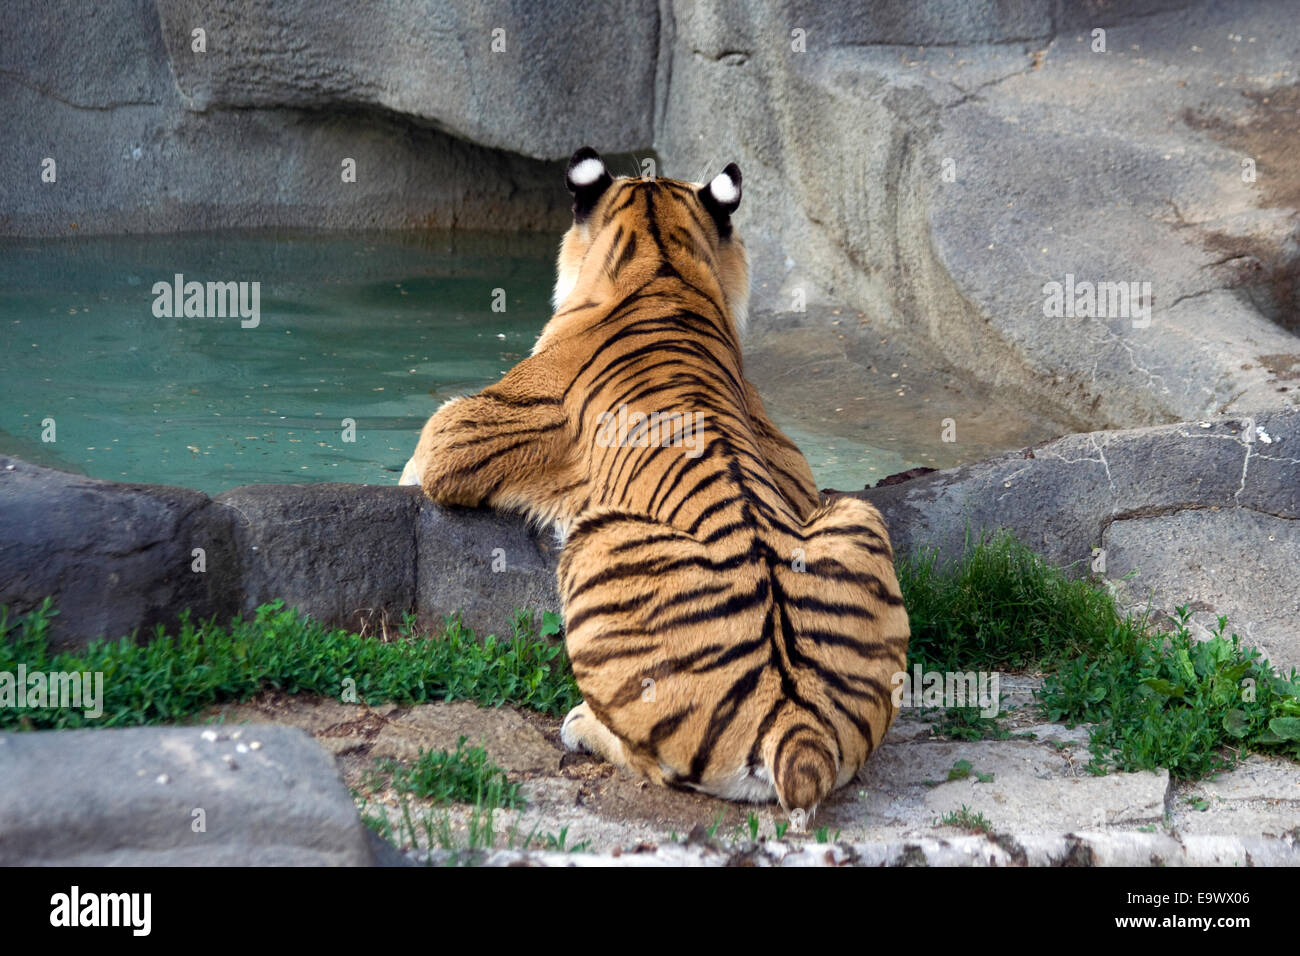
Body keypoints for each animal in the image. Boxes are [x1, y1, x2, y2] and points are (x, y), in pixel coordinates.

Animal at [400, 147, 909, 820]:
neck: (661, 258)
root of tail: (797, 730)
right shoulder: (788, 459)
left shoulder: (481, 423)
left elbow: (429, 448)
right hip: (855, 516)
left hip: (595, 540)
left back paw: (580, 726)